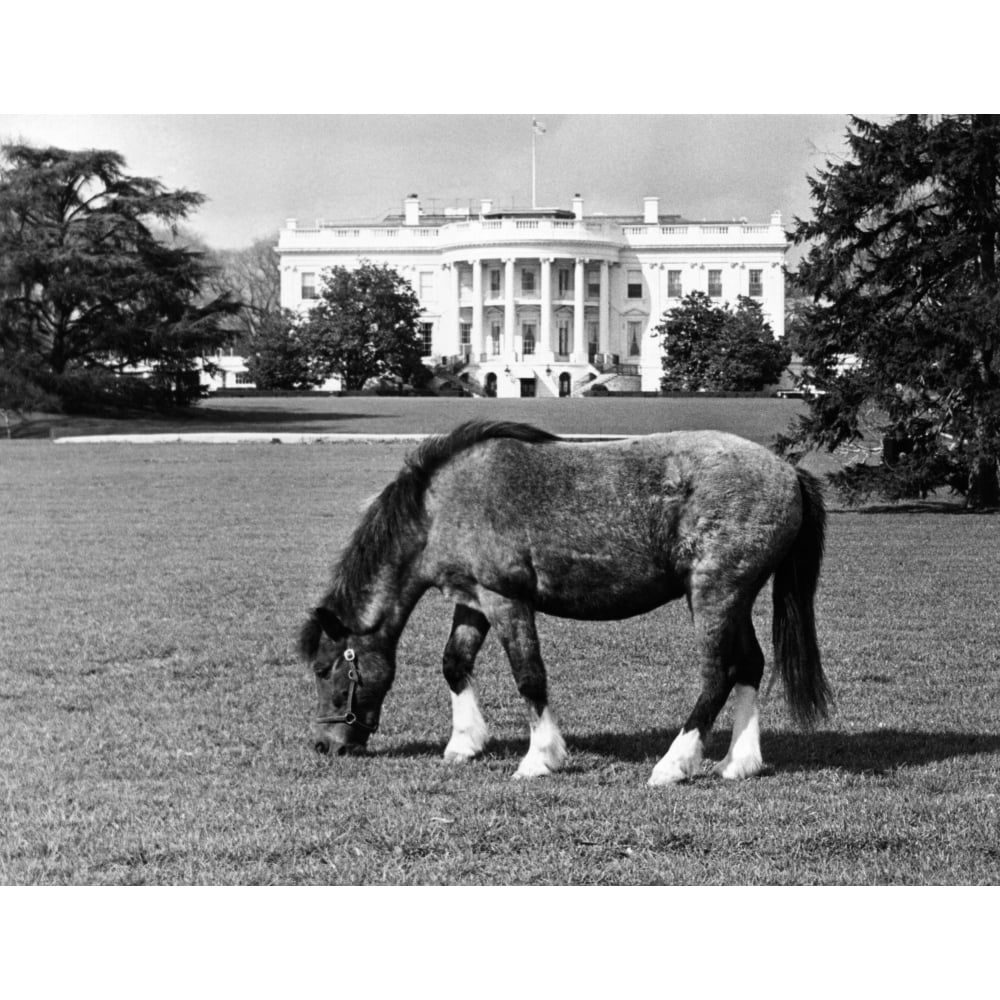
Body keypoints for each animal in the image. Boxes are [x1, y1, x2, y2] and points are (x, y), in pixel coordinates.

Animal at [298, 420, 830, 786]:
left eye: (326, 670)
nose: (325, 745)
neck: (442, 506)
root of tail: (787, 471)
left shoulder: (507, 602)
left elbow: (530, 677)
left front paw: (540, 757)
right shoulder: (473, 600)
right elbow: (454, 663)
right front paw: (464, 744)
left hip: (714, 595)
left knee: (717, 675)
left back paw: (673, 765)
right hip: (736, 598)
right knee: (750, 666)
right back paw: (739, 762)